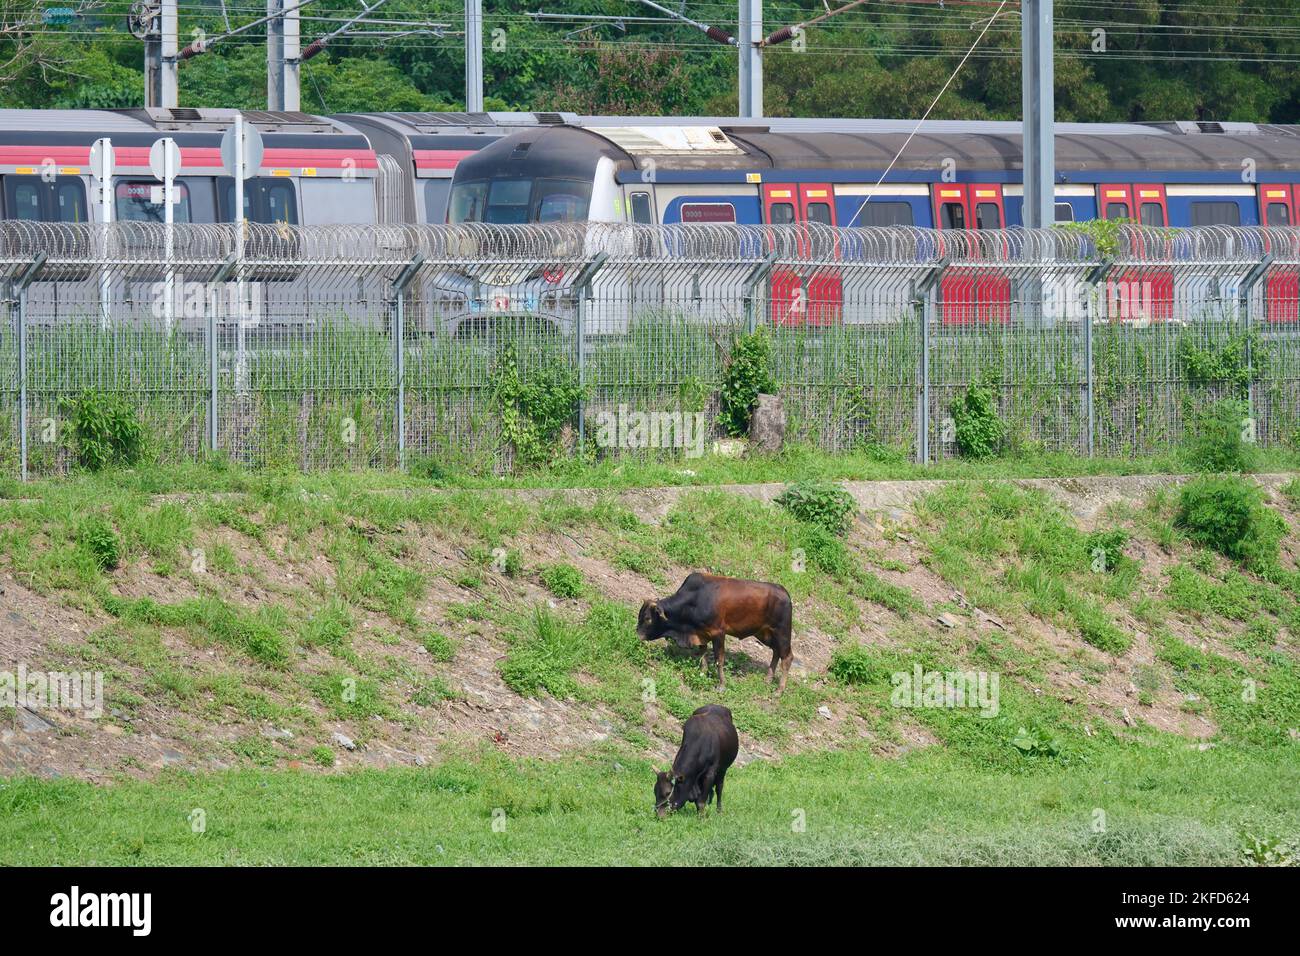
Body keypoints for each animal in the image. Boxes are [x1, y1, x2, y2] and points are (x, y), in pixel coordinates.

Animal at [637, 572, 794, 694]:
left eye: (648, 618)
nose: (638, 635)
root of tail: (784, 592)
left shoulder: (718, 633)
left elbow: (719, 659)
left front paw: (722, 685)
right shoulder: (700, 633)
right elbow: (703, 655)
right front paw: (703, 672)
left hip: (782, 632)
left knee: (787, 657)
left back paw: (779, 690)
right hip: (765, 633)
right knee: (776, 652)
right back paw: (767, 680)